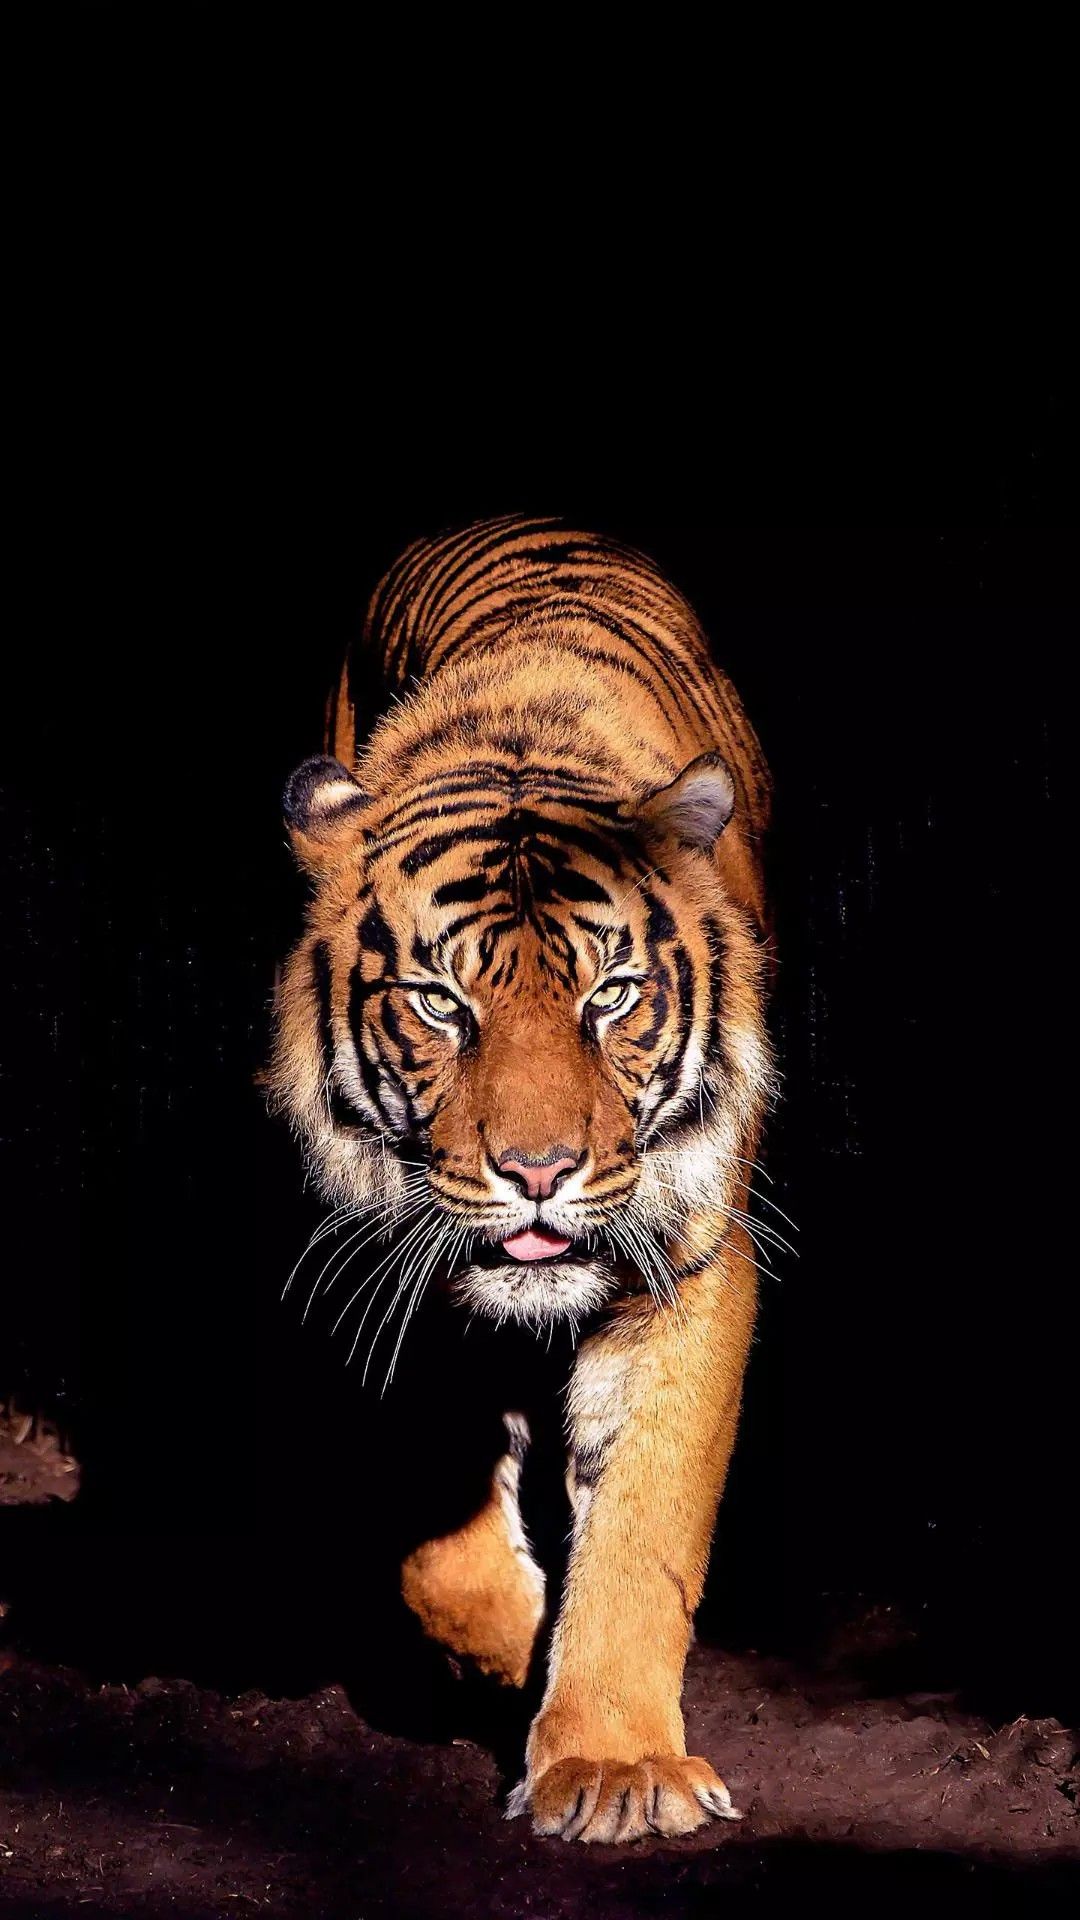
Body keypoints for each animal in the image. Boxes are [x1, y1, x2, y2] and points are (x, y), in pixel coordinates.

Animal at [268, 515, 775, 1844]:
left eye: (612, 995)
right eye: (443, 1004)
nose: (539, 1171)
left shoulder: (690, 1261)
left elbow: (646, 1525)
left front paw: (612, 1766)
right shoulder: (392, 1258)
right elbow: (434, 1540)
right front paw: (509, 1650)